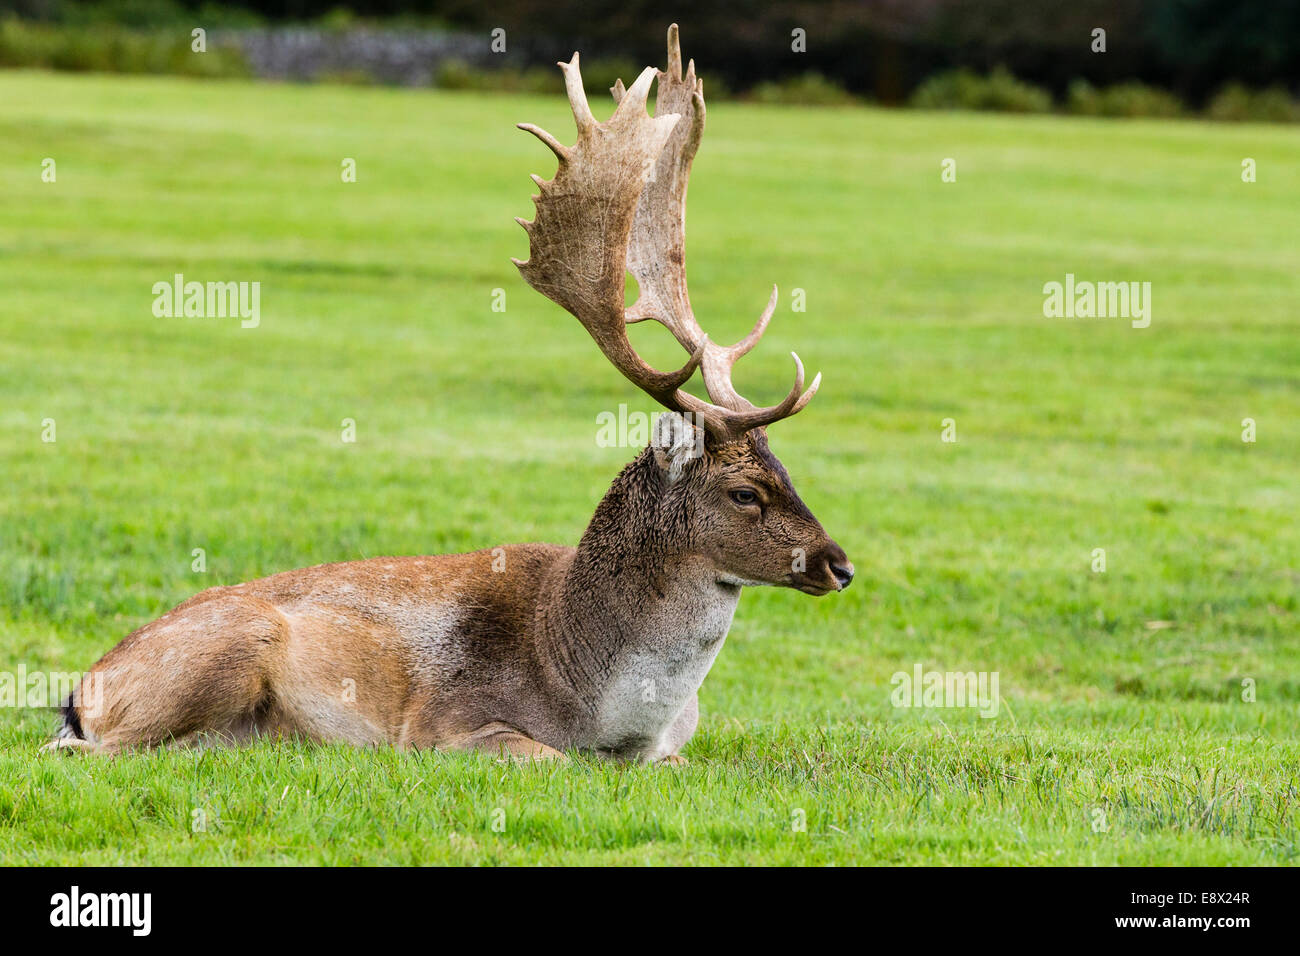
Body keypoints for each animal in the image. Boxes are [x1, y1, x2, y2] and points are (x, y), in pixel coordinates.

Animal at [45, 25, 853, 764]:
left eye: (789, 473)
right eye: (746, 492)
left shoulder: (670, 750)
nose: (839, 563)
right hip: (229, 644)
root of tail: (81, 692)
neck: (611, 710)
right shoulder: (446, 723)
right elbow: (551, 757)